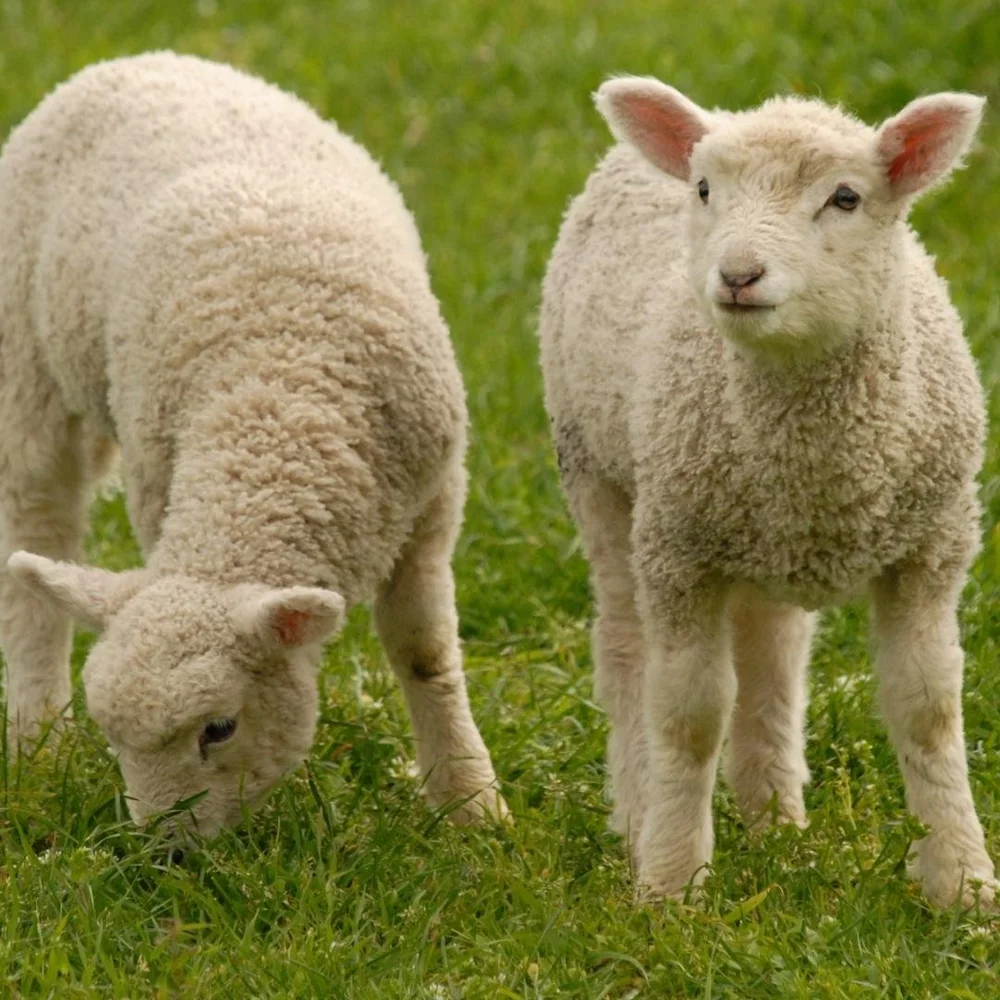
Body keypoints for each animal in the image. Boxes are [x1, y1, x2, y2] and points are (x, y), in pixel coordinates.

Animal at [0, 52, 505, 837]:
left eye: (220, 729)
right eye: (115, 739)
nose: (163, 856)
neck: (276, 407)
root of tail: (134, 61)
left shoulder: (435, 500)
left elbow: (422, 651)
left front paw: (471, 804)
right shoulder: (159, 479)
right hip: (26, 360)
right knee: (37, 526)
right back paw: (36, 743)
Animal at [538, 75, 993, 908]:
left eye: (845, 198)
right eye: (705, 190)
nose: (739, 275)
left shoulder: (933, 547)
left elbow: (927, 709)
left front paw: (963, 884)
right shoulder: (679, 553)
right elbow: (688, 714)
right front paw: (671, 885)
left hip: (755, 535)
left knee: (773, 661)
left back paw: (776, 824)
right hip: (602, 475)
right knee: (625, 647)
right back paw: (641, 812)